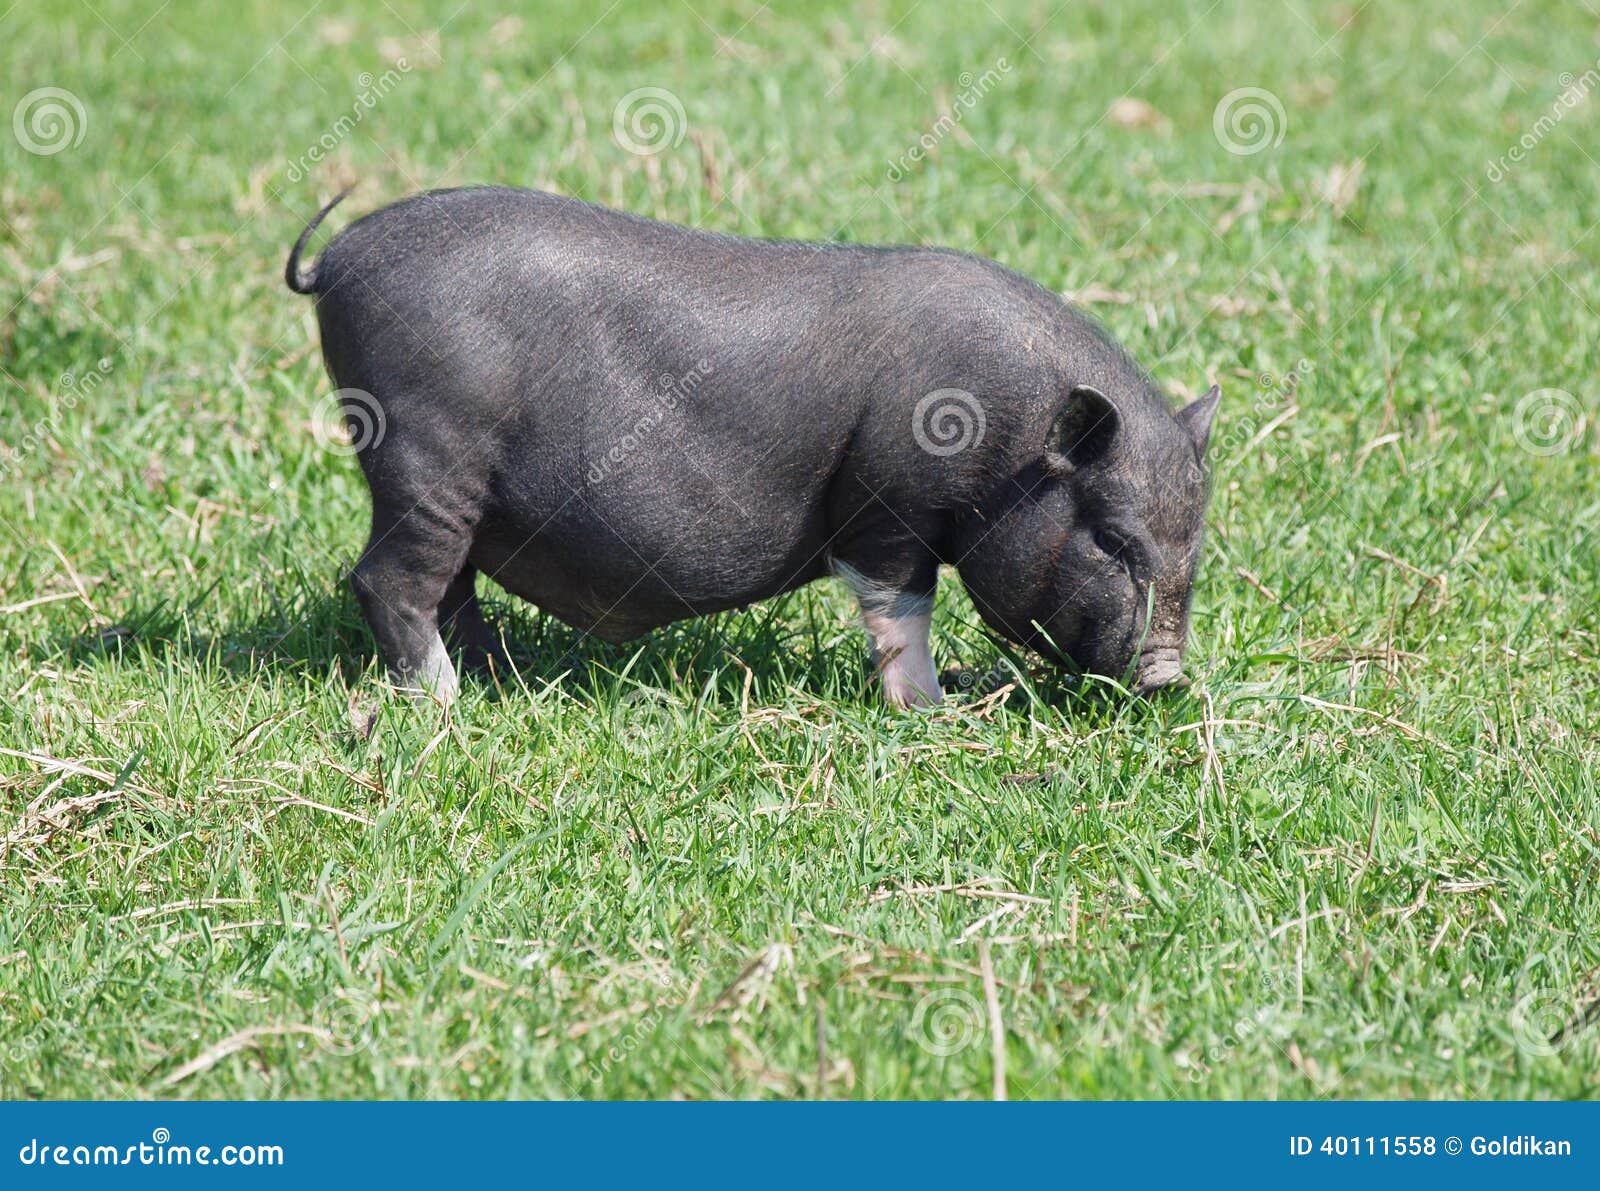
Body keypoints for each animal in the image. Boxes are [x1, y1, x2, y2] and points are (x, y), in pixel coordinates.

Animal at [285, 186, 1219, 707]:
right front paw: (928, 711)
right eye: (1115, 541)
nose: (1168, 675)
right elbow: (898, 602)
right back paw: (445, 705)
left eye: (1195, 543)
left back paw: (501, 680)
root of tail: (336, 258)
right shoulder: (887, 502)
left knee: (453, 586)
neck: (1007, 436)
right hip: (426, 456)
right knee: (389, 579)